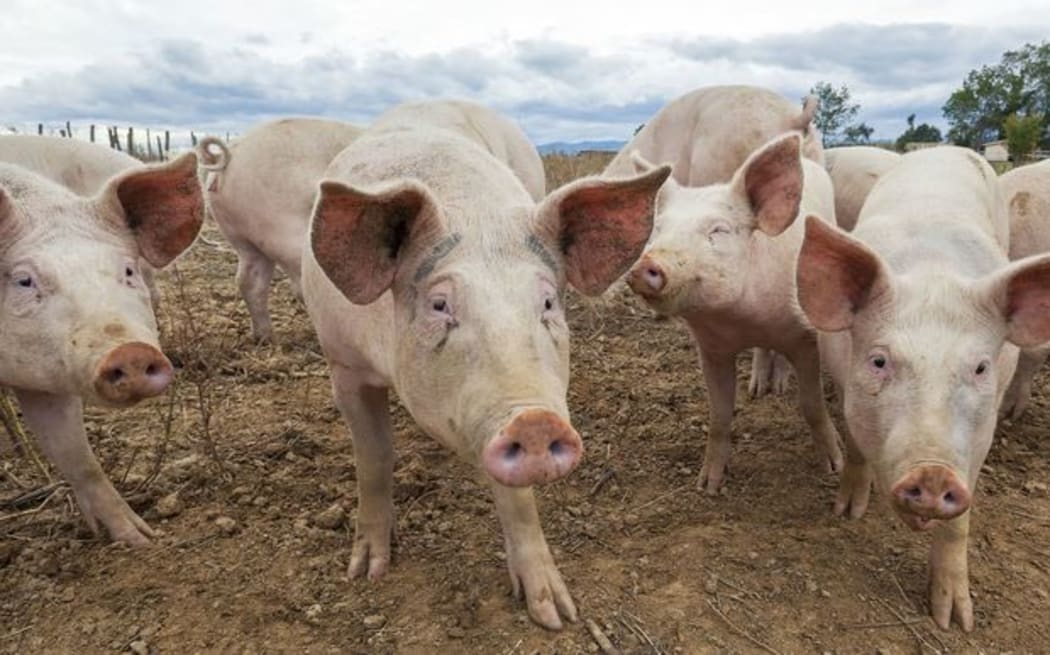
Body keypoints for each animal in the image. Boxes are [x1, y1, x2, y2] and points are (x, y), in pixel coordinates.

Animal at [0, 152, 204, 544]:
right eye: (24, 281)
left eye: (128, 271)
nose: (131, 352)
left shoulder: (42, 380)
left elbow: (79, 457)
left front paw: (141, 539)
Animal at [196, 118, 364, 343]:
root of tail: (230, 154)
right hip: (286, 229)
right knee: (303, 285)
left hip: (244, 237)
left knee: (249, 281)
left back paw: (265, 337)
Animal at [301, 105, 670, 629]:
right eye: (439, 305)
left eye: (548, 302)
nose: (534, 421)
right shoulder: (343, 364)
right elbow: (372, 458)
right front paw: (367, 572)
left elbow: (517, 497)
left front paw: (556, 614)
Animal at [625, 133, 844, 494]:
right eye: (659, 229)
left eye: (718, 230)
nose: (645, 265)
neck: (743, 321)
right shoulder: (712, 350)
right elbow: (720, 415)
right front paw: (707, 486)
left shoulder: (804, 338)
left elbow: (811, 404)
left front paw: (833, 466)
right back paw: (757, 389)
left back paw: (777, 387)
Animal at [795, 146, 1050, 631]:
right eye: (879, 361)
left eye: (981, 368)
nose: (933, 473)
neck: (933, 273)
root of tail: (945, 148)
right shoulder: (842, 377)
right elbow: (855, 447)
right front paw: (849, 512)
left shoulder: (981, 432)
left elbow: (959, 523)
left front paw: (954, 621)